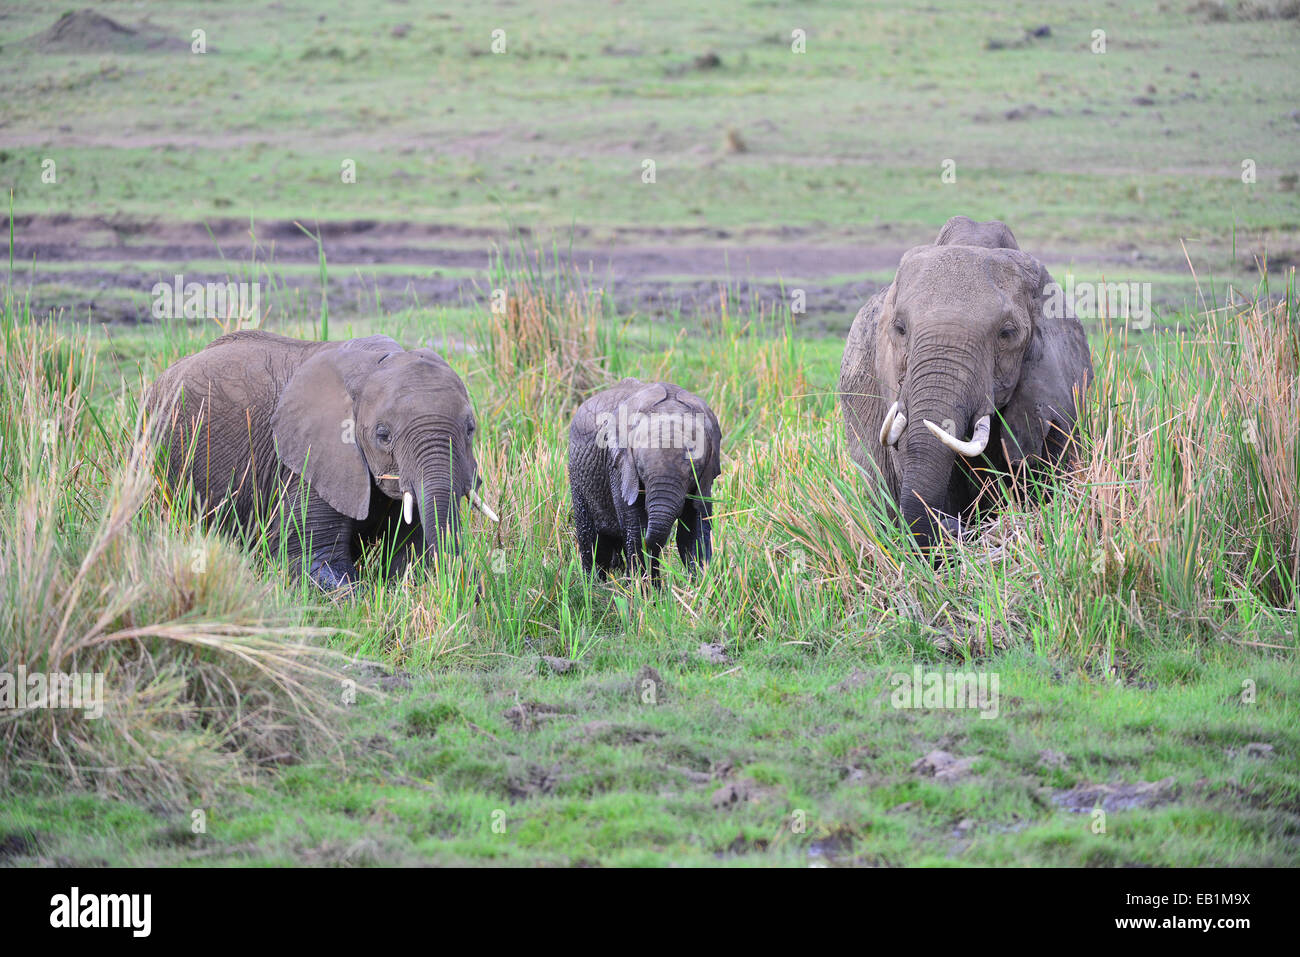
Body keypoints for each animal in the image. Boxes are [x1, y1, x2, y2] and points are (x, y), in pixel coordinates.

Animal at [145, 330, 497, 591]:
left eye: (470, 429)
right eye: (383, 435)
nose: (478, 588)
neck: (376, 362)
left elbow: (411, 553)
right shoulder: (309, 457)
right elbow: (317, 560)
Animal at [568, 379, 722, 582]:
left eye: (692, 472)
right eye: (641, 469)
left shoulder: (704, 481)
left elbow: (694, 530)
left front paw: (701, 586)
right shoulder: (619, 467)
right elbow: (636, 529)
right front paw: (641, 589)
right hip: (577, 476)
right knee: (593, 541)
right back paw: (594, 585)